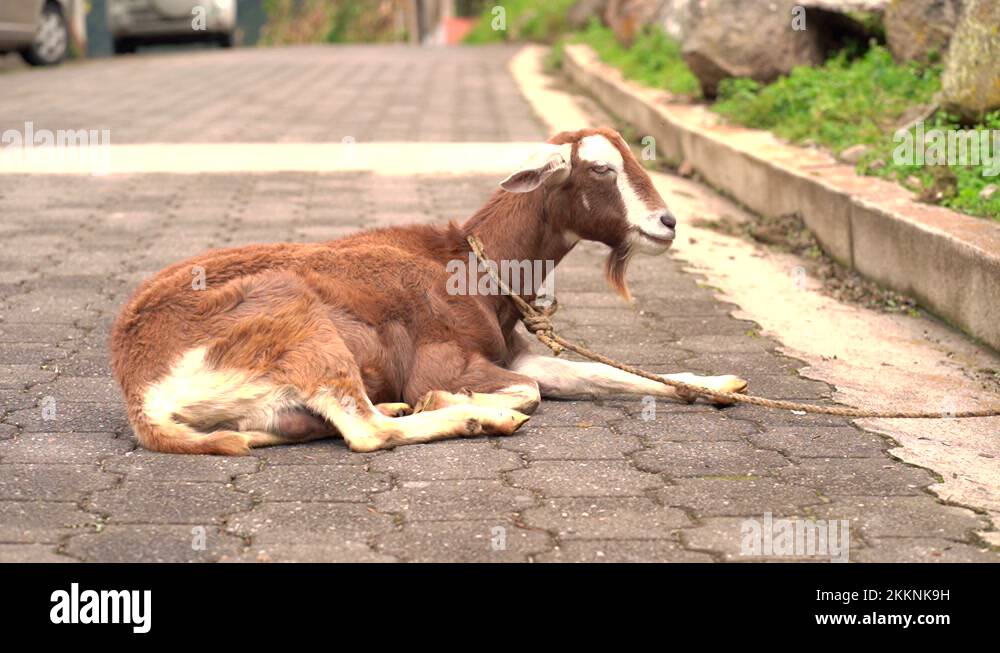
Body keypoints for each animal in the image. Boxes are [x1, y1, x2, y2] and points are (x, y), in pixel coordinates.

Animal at [110, 127, 748, 455]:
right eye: (599, 169)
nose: (667, 223)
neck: (469, 267)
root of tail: (140, 384)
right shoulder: (448, 361)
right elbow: (526, 393)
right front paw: (455, 402)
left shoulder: (512, 355)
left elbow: (602, 374)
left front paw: (718, 384)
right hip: (299, 327)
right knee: (368, 432)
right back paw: (473, 419)